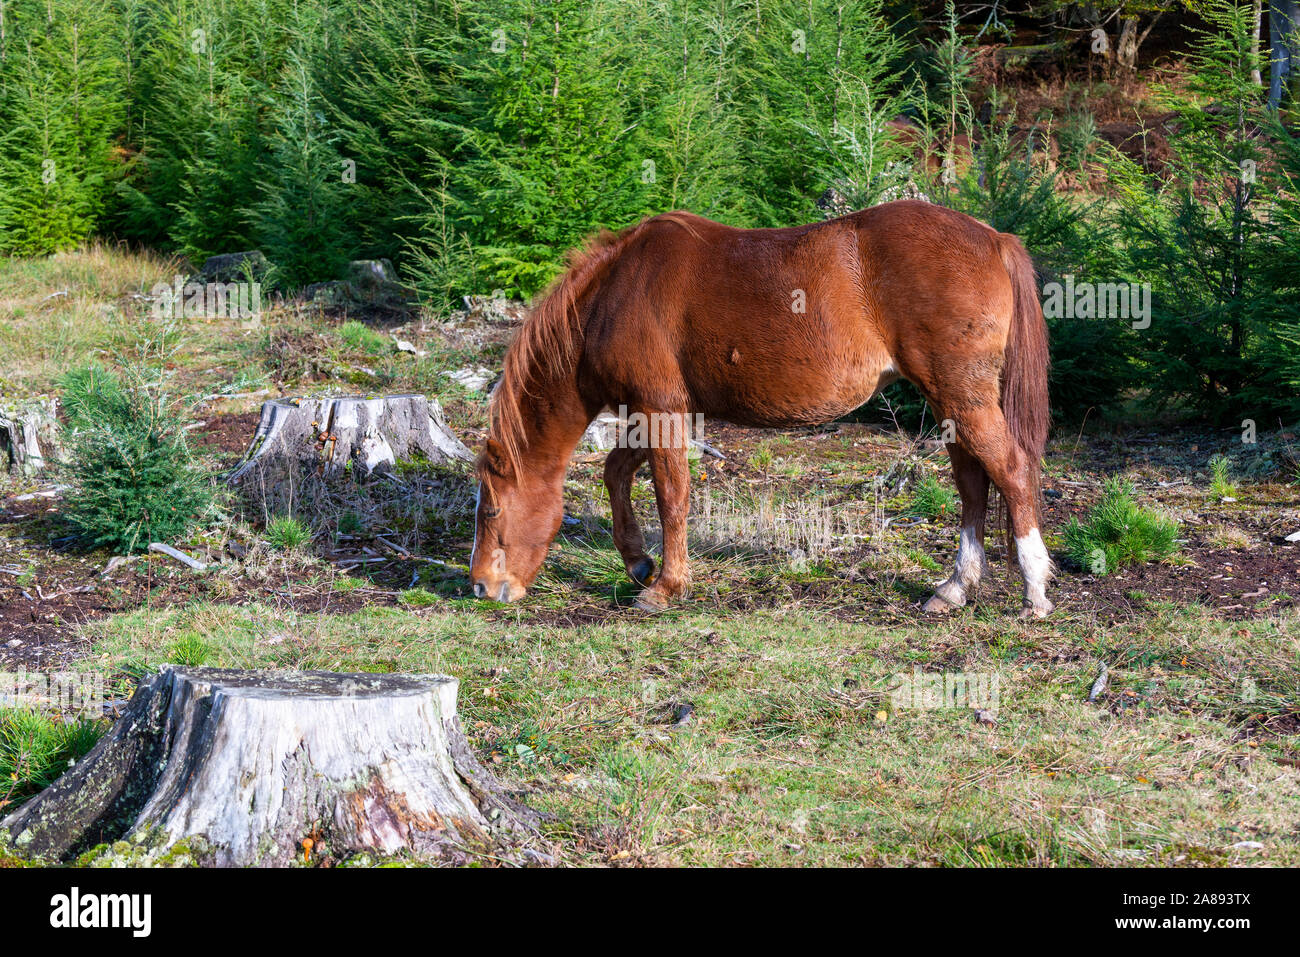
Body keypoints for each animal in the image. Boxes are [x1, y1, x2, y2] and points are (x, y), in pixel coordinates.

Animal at [469, 199, 1053, 617]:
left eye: (492, 510)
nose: (480, 587)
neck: (612, 297)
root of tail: (992, 238)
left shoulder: (659, 409)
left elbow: (671, 496)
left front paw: (666, 587)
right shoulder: (666, 412)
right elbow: (617, 473)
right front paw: (637, 562)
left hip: (961, 396)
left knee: (1012, 471)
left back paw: (1035, 590)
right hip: (952, 403)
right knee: (974, 485)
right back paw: (954, 588)